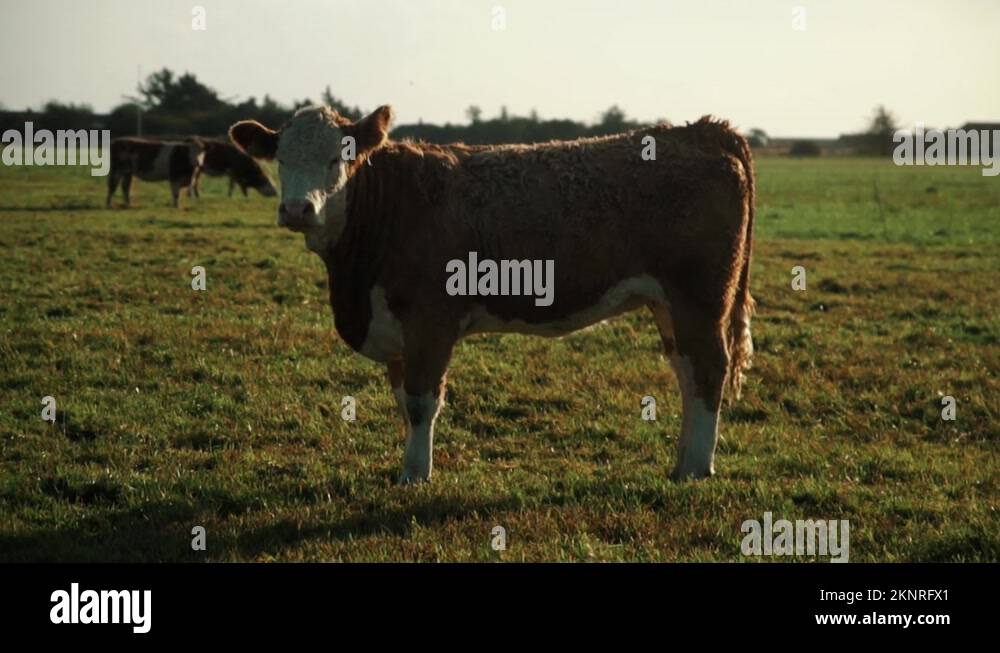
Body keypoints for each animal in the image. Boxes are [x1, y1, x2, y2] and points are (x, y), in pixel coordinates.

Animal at [229, 105, 756, 484]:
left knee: (709, 370)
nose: (298, 209)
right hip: (669, 304)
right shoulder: (397, 331)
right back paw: (681, 462)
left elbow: (421, 402)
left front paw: (414, 476)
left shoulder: (430, 321)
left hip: (699, 297)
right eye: (280, 159)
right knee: (687, 373)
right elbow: (403, 400)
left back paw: (695, 470)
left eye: (339, 157)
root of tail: (702, 130)